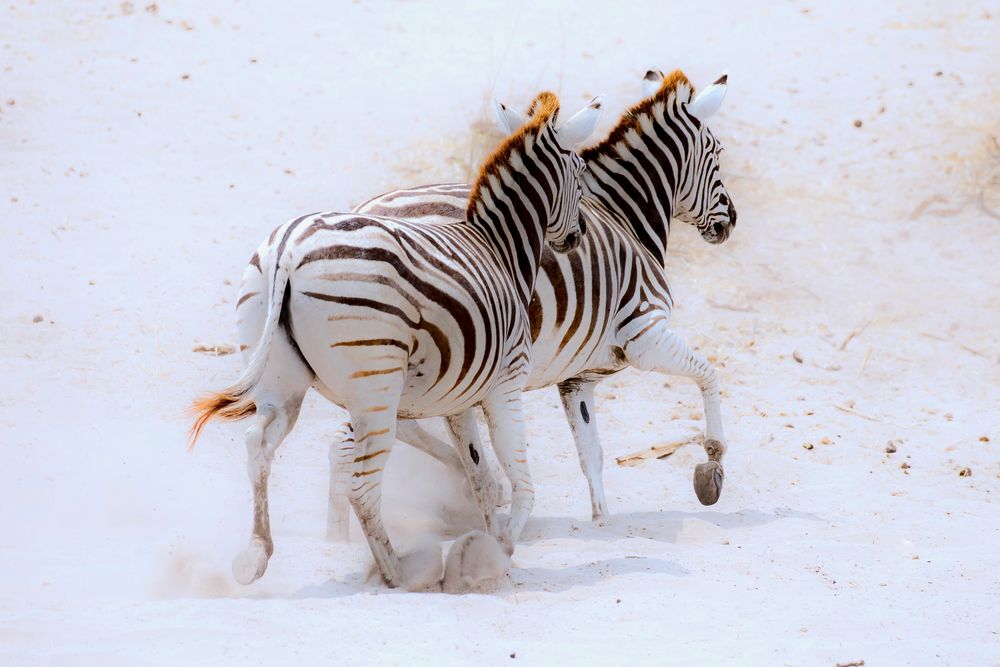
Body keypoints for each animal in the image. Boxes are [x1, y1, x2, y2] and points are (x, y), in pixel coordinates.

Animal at [189, 92, 603, 591]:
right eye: (579, 171)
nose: (577, 236)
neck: (500, 248)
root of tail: (288, 249)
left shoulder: (460, 399)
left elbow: (480, 476)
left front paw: (485, 548)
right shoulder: (506, 382)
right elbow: (520, 479)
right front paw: (499, 553)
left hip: (280, 382)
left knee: (259, 447)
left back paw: (255, 556)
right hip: (375, 390)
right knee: (363, 486)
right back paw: (396, 572)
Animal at [331, 69, 737, 532]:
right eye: (718, 153)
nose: (731, 221)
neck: (622, 217)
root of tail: (365, 209)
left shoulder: (577, 378)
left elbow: (591, 453)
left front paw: (602, 522)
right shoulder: (644, 334)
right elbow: (709, 375)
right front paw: (712, 469)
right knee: (349, 448)